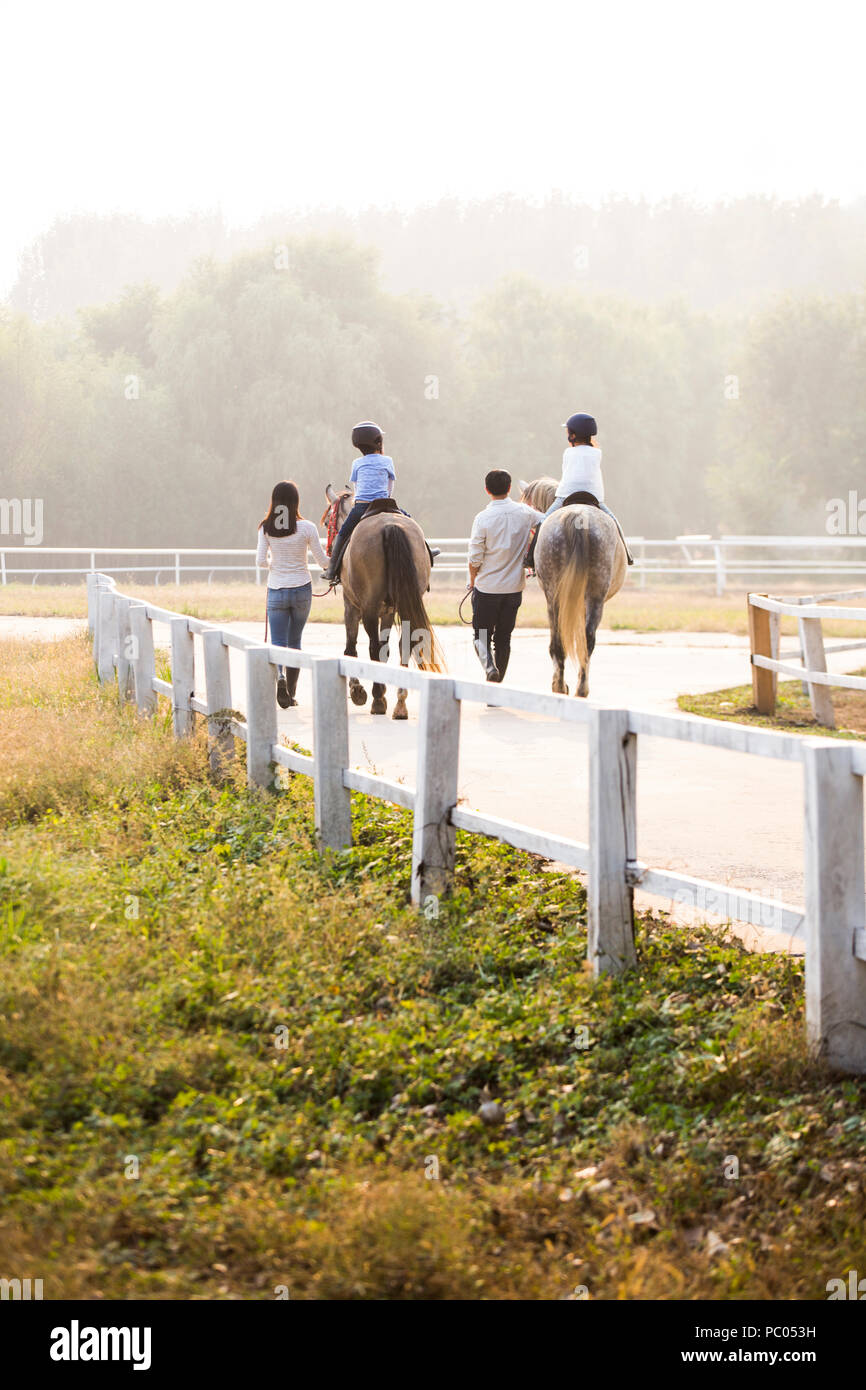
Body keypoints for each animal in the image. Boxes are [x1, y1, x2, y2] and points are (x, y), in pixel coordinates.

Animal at [322, 484, 444, 717]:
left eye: (326, 523)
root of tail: (390, 527)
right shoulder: (388, 611)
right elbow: (386, 648)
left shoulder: (351, 606)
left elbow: (351, 648)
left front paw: (358, 689)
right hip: (405, 604)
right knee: (404, 643)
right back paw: (400, 703)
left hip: (368, 608)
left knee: (372, 647)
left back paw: (377, 698)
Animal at [520, 477, 627, 698]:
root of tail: (577, 516)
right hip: (593, 597)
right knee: (584, 640)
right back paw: (576, 688)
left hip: (556, 597)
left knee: (561, 641)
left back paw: (563, 687)